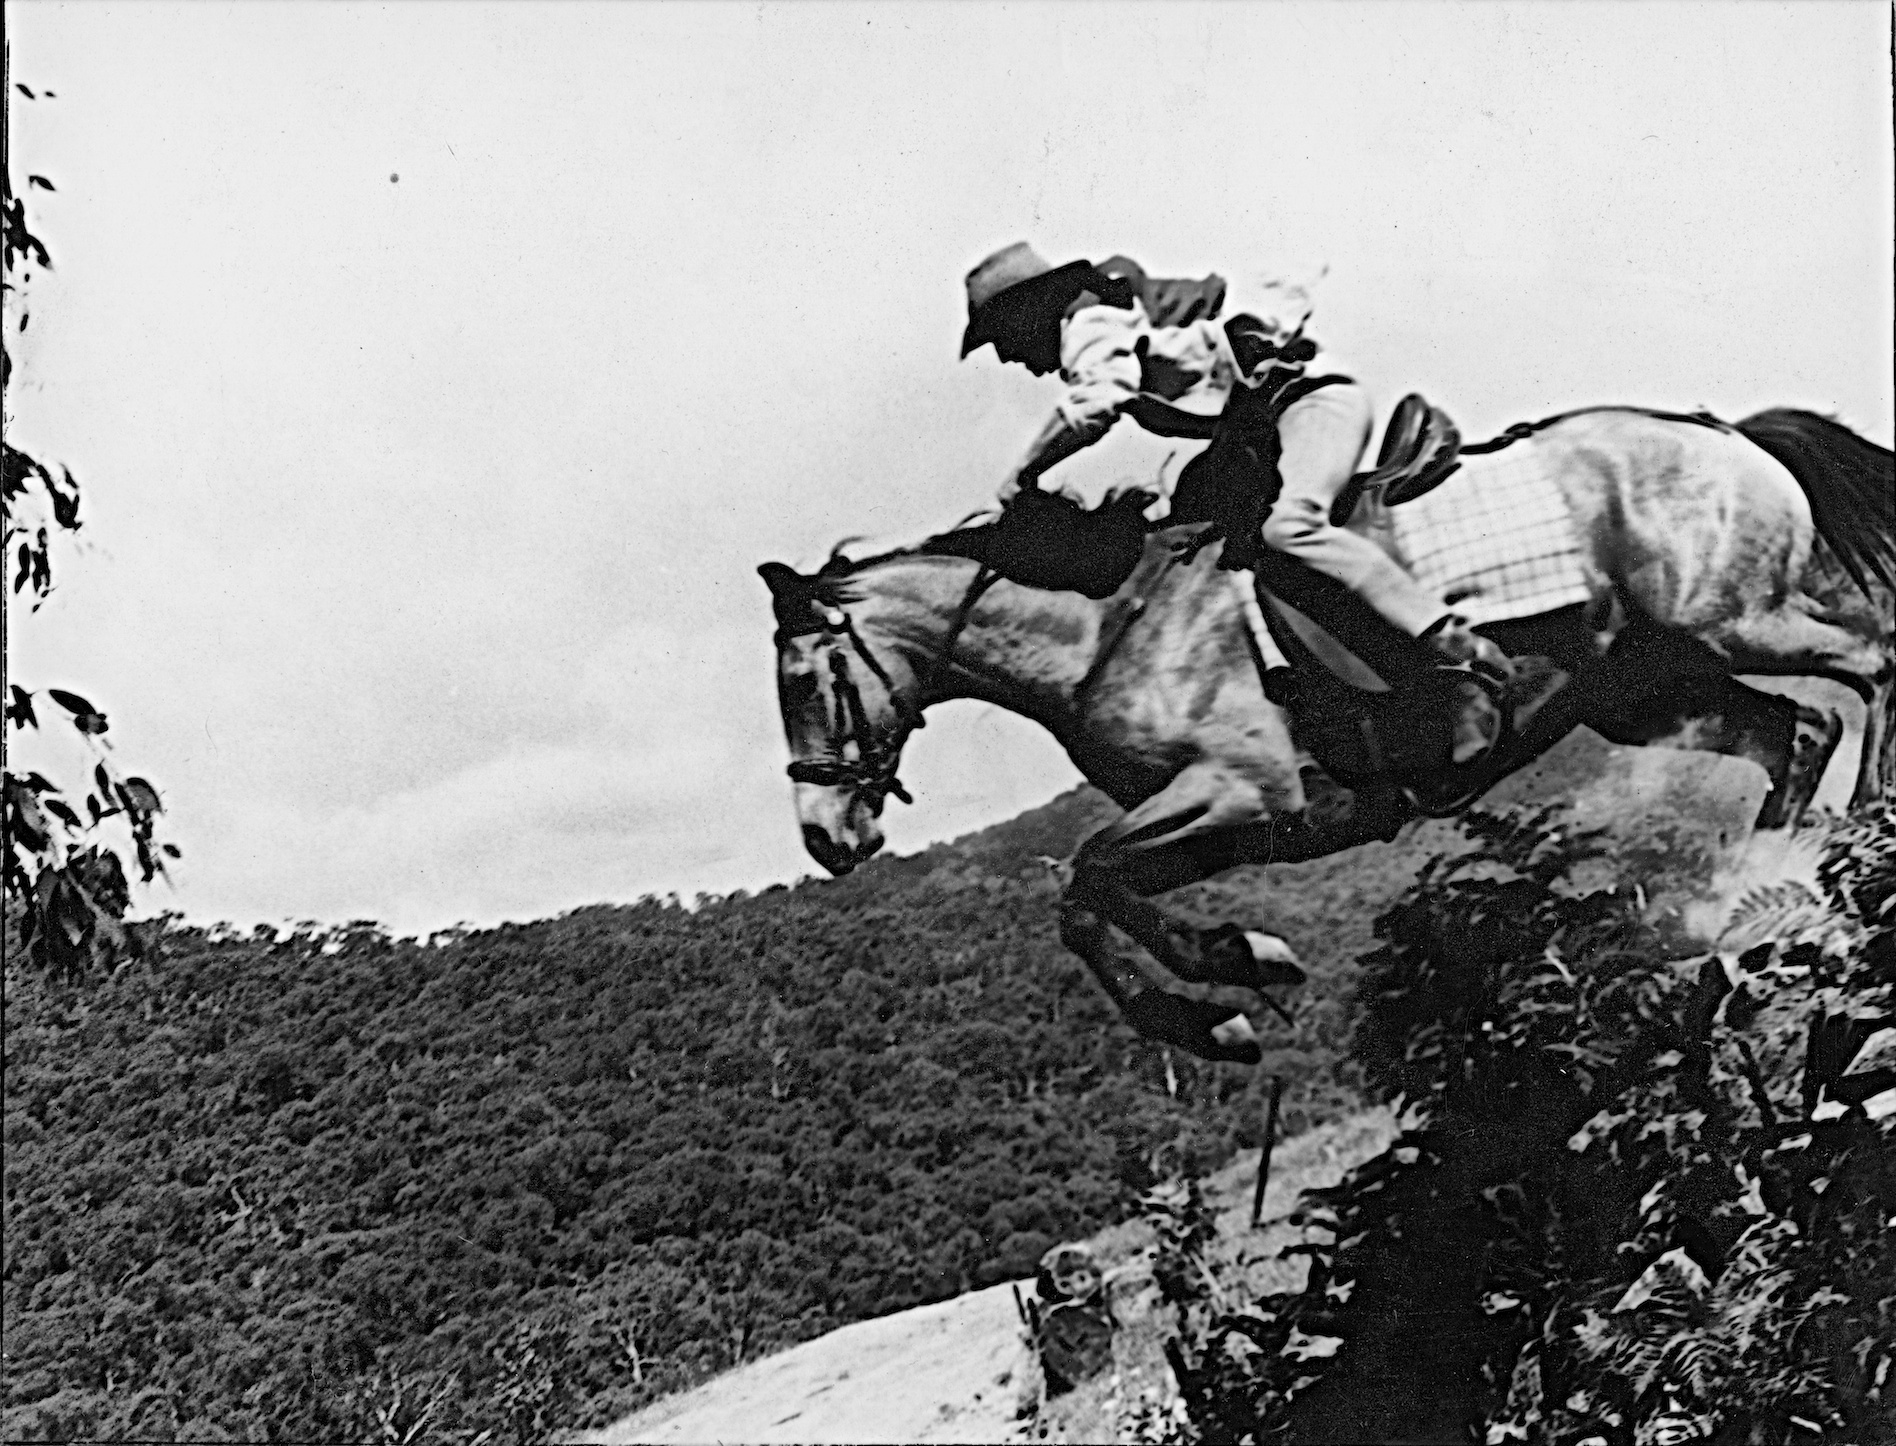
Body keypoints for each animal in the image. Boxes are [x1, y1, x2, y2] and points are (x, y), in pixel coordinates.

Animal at [760, 407, 1895, 1065]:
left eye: (805, 679)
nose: (827, 837)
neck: (1107, 627)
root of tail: (1726, 431)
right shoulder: (1245, 824)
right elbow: (1094, 902)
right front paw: (1228, 992)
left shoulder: (1242, 792)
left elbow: (1090, 880)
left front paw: (1236, 978)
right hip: (1649, 682)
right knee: (1795, 730)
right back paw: (1742, 896)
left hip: (1732, 618)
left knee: (1870, 663)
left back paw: (1851, 841)